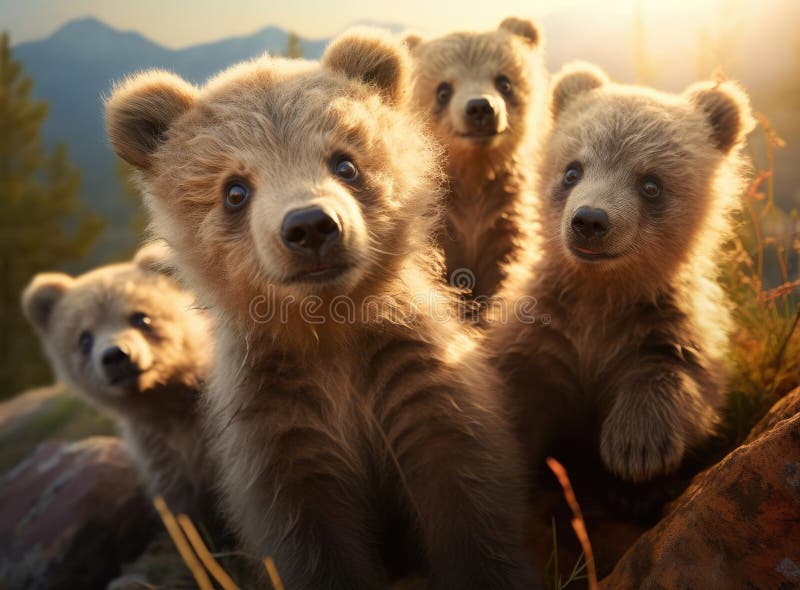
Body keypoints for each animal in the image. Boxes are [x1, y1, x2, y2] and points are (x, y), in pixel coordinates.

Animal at [105, 30, 539, 590]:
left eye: (345, 162)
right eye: (235, 189)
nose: (310, 224)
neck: (329, 332)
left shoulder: (411, 377)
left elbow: (466, 496)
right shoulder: (279, 423)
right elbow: (312, 538)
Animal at [489, 62, 754, 485]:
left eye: (651, 184)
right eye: (572, 171)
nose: (590, 221)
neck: (602, 291)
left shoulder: (666, 321)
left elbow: (677, 369)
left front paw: (636, 448)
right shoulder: (540, 331)